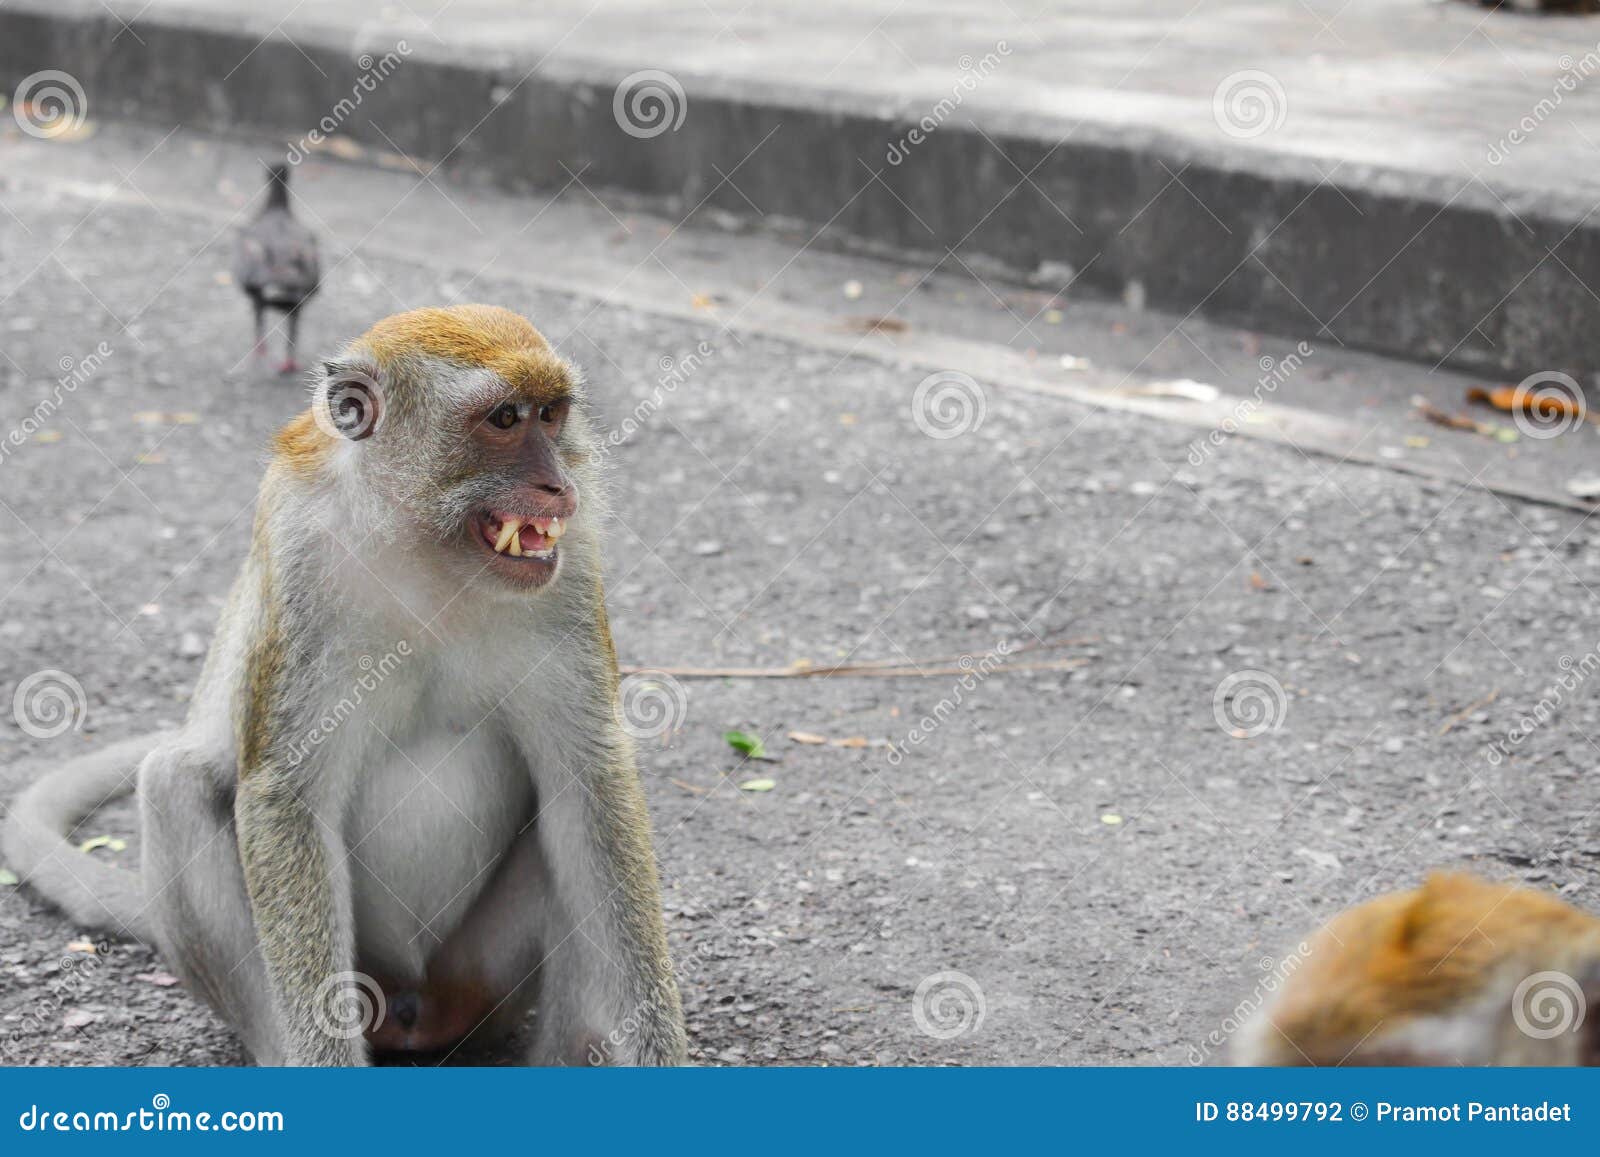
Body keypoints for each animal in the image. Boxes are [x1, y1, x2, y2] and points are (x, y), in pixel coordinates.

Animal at [2, 304, 687, 1067]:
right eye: (505, 419)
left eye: (551, 413)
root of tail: (417, 1009)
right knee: (174, 781)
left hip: (480, 976)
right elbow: (285, 796)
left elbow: (590, 785)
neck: (425, 552)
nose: (559, 486)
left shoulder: (569, 569)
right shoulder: (304, 554)